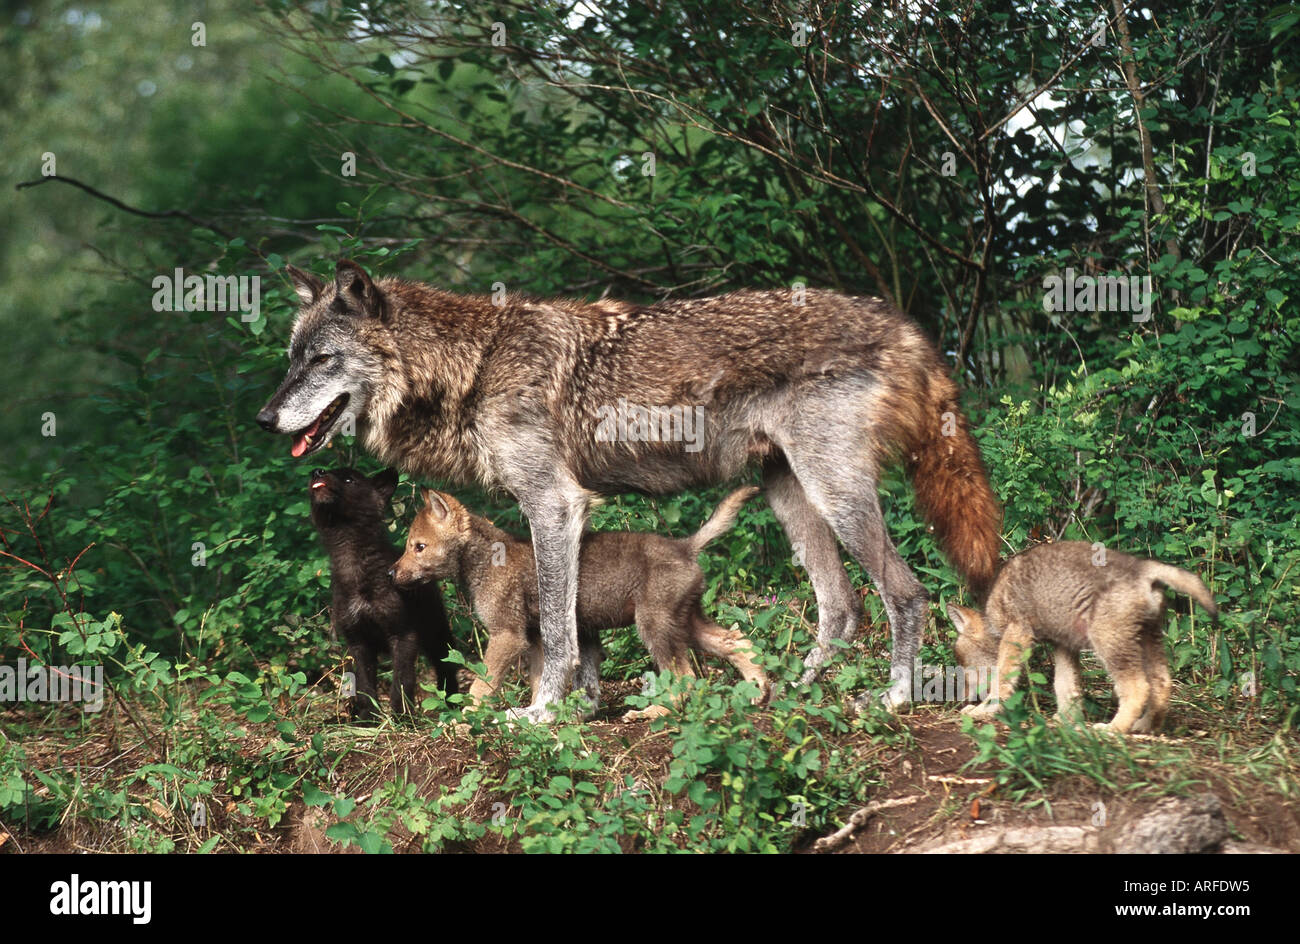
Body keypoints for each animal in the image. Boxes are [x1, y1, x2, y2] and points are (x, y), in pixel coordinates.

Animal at [308, 466, 457, 719]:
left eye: (349, 479)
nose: (317, 471)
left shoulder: (403, 634)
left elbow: (402, 682)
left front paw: (401, 718)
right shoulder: (358, 641)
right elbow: (365, 685)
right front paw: (367, 719)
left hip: (436, 632)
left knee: (447, 665)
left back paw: (451, 704)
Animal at [390, 485, 769, 720]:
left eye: (419, 546)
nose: (391, 573)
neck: (484, 561)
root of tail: (686, 546)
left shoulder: (507, 635)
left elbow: (482, 685)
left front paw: (465, 719)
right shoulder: (536, 639)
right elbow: (540, 685)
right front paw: (536, 717)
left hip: (655, 626)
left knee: (684, 676)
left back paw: (653, 713)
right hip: (687, 622)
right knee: (737, 642)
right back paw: (760, 690)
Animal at [947, 541, 1218, 733]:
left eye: (964, 665)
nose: (959, 701)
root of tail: (1144, 569)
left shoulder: (1017, 633)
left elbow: (1001, 682)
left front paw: (983, 711)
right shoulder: (1063, 646)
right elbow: (1066, 688)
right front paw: (1065, 721)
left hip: (1109, 644)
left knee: (1138, 688)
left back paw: (1113, 730)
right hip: (1147, 640)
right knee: (1162, 683)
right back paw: (1144, 727)